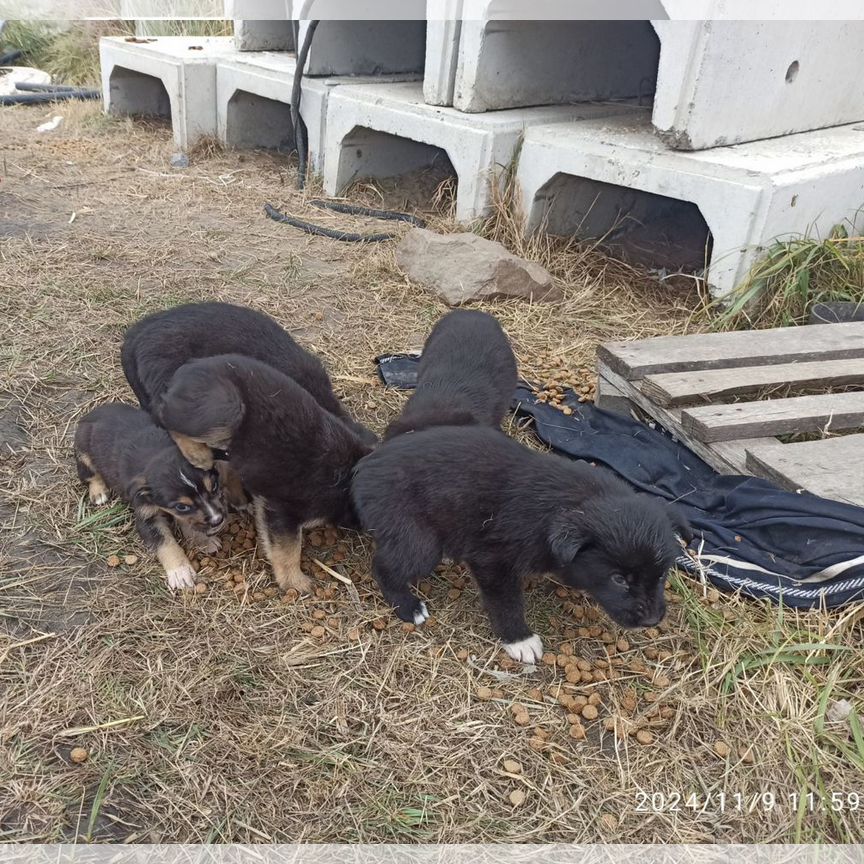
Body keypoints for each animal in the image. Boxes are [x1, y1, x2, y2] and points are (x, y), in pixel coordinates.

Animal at [74, 402, 228, 592]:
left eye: (214, 486)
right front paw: (180, 572)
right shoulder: (147, 516)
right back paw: (98, 492)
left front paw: (204, 541)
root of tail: (93, 412)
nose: (217, 520)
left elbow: (189, 523)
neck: (156, 454)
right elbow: (165, 543)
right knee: (90, 474)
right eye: (181, 506)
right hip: (82, 449)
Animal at [155, 354, 372, 592]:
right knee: (166, 417)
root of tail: (180, 376)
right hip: (226, 409)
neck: (347, 479)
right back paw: (198, 455)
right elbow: (288, 550)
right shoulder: (282, 512)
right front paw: (297, 584)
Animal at [352, 426, 688, 660]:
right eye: (619, 579)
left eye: (662, 575)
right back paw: (408, 607)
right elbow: (506, 601)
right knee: (383, 566)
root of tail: (362, 469)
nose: (652, 620)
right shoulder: (493, 560)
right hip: (419, 541)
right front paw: (519, 640)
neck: (577, 502)